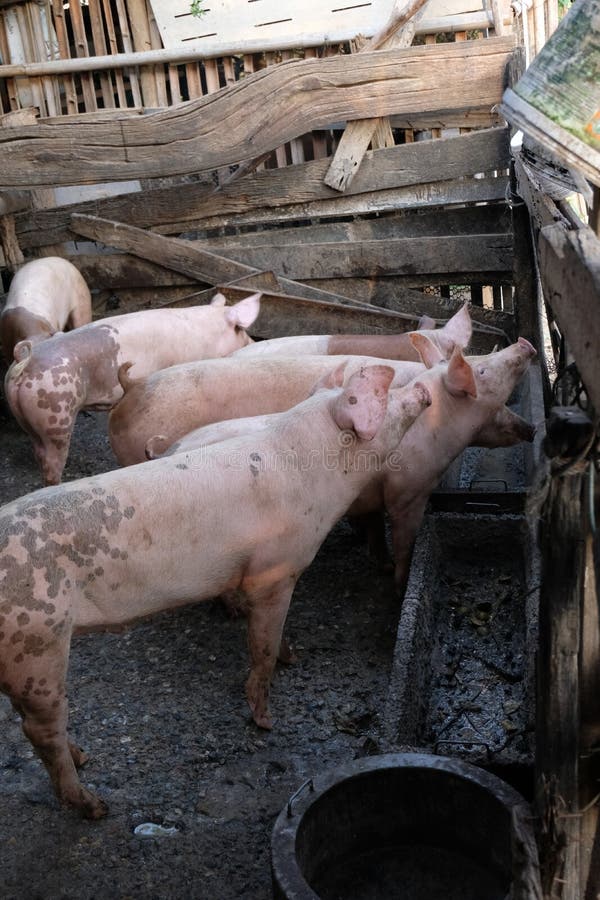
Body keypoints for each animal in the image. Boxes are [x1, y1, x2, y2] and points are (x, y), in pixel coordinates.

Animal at [0, 365, 431, 818]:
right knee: (39, 730)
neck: (314, 474)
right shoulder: (274, 571)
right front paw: (266, 720)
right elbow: (262, 644)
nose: (423, 389)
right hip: (37, 641)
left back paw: (83, 759)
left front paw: (292, 656)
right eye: (387, 395)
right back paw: (95, 806)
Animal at [4, 292, 261, 486]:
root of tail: (25, 363)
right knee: (52, 462)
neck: (206, 332)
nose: (254, 342)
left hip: (33, 420)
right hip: (56, 415)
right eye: (241, 329)